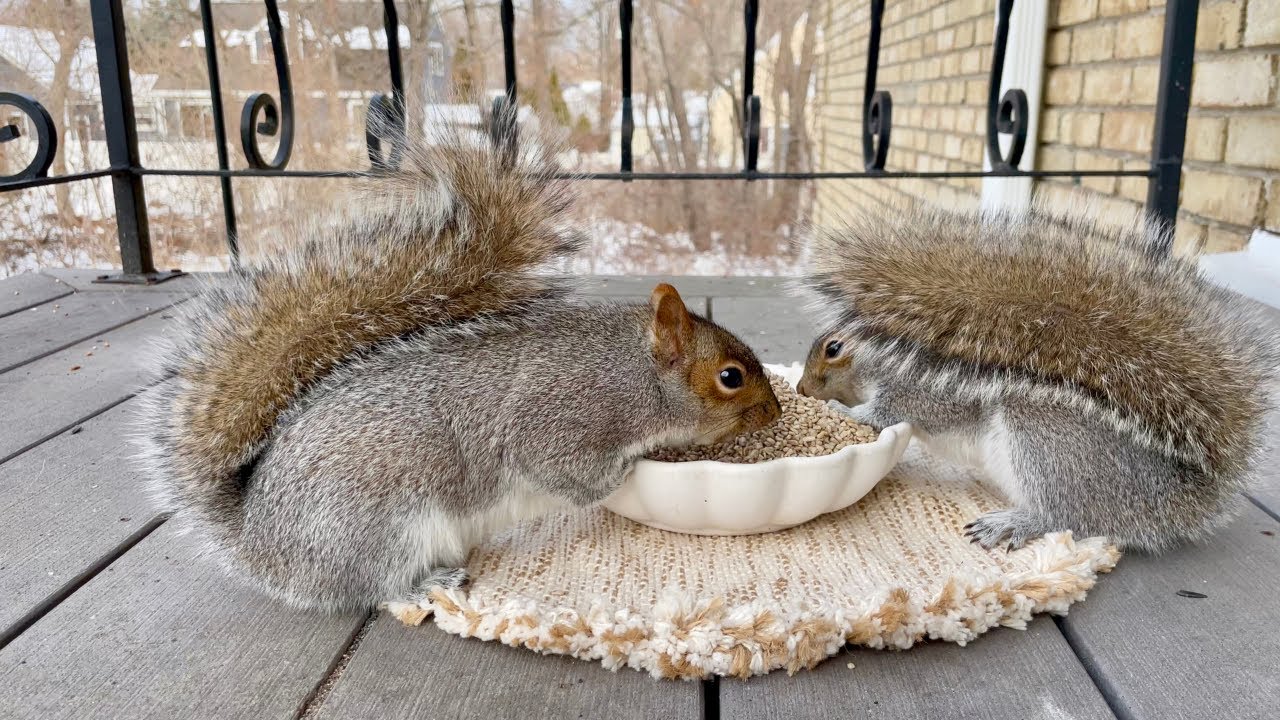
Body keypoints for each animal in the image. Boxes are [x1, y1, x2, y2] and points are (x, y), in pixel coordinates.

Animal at [135, 119, 781, 611]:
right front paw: (626, 472)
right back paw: (427, 585)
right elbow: (571, 475)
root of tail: (260, 541)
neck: (630, 371)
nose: (775, 414)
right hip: (380, 528)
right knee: (376, 585)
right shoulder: (561, 423)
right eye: (730, 378)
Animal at [796, 202, 1277, 552]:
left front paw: (847, 411)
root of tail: (1173, 501)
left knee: (1068, 516)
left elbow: (894, 411)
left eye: (834, 349)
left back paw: (1015, 522)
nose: (801, 389)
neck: (891, 356)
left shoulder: (925, 391)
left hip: (1049, 441)